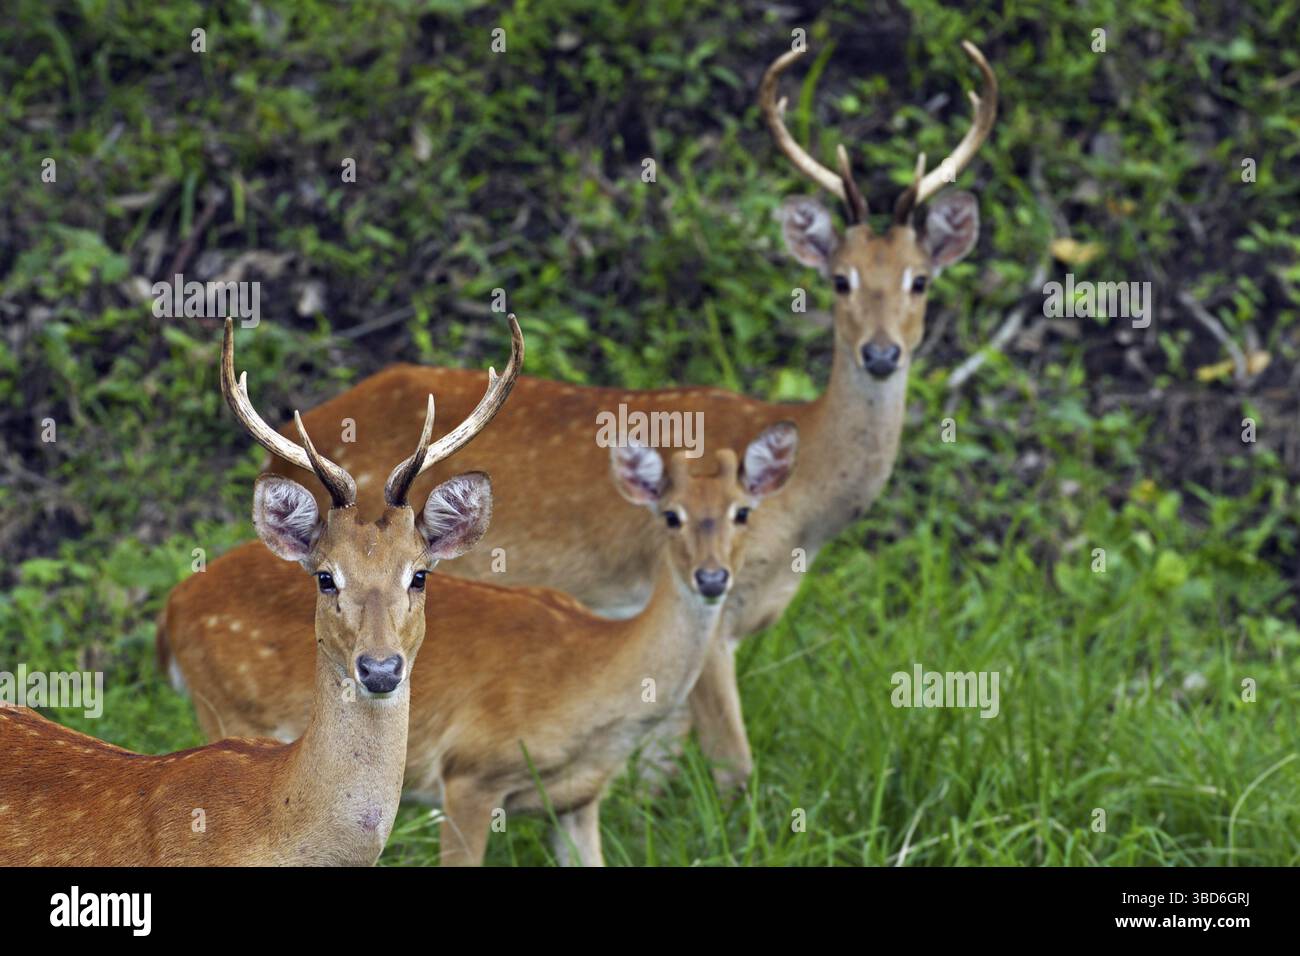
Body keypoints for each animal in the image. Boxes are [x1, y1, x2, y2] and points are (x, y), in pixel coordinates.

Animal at [161, 320, 799, 865]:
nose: (713, 578)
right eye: (325, 575)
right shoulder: (468, 773)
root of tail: (170, 610)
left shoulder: (577, 801)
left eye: (420, 573)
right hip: (223, 710)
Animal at [162, 40, 997, 794]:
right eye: (839, 279)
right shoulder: (706, 610)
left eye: (921, 280)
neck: (806, 507)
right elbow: (729, 765)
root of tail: (276, 451)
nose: (882, 352)